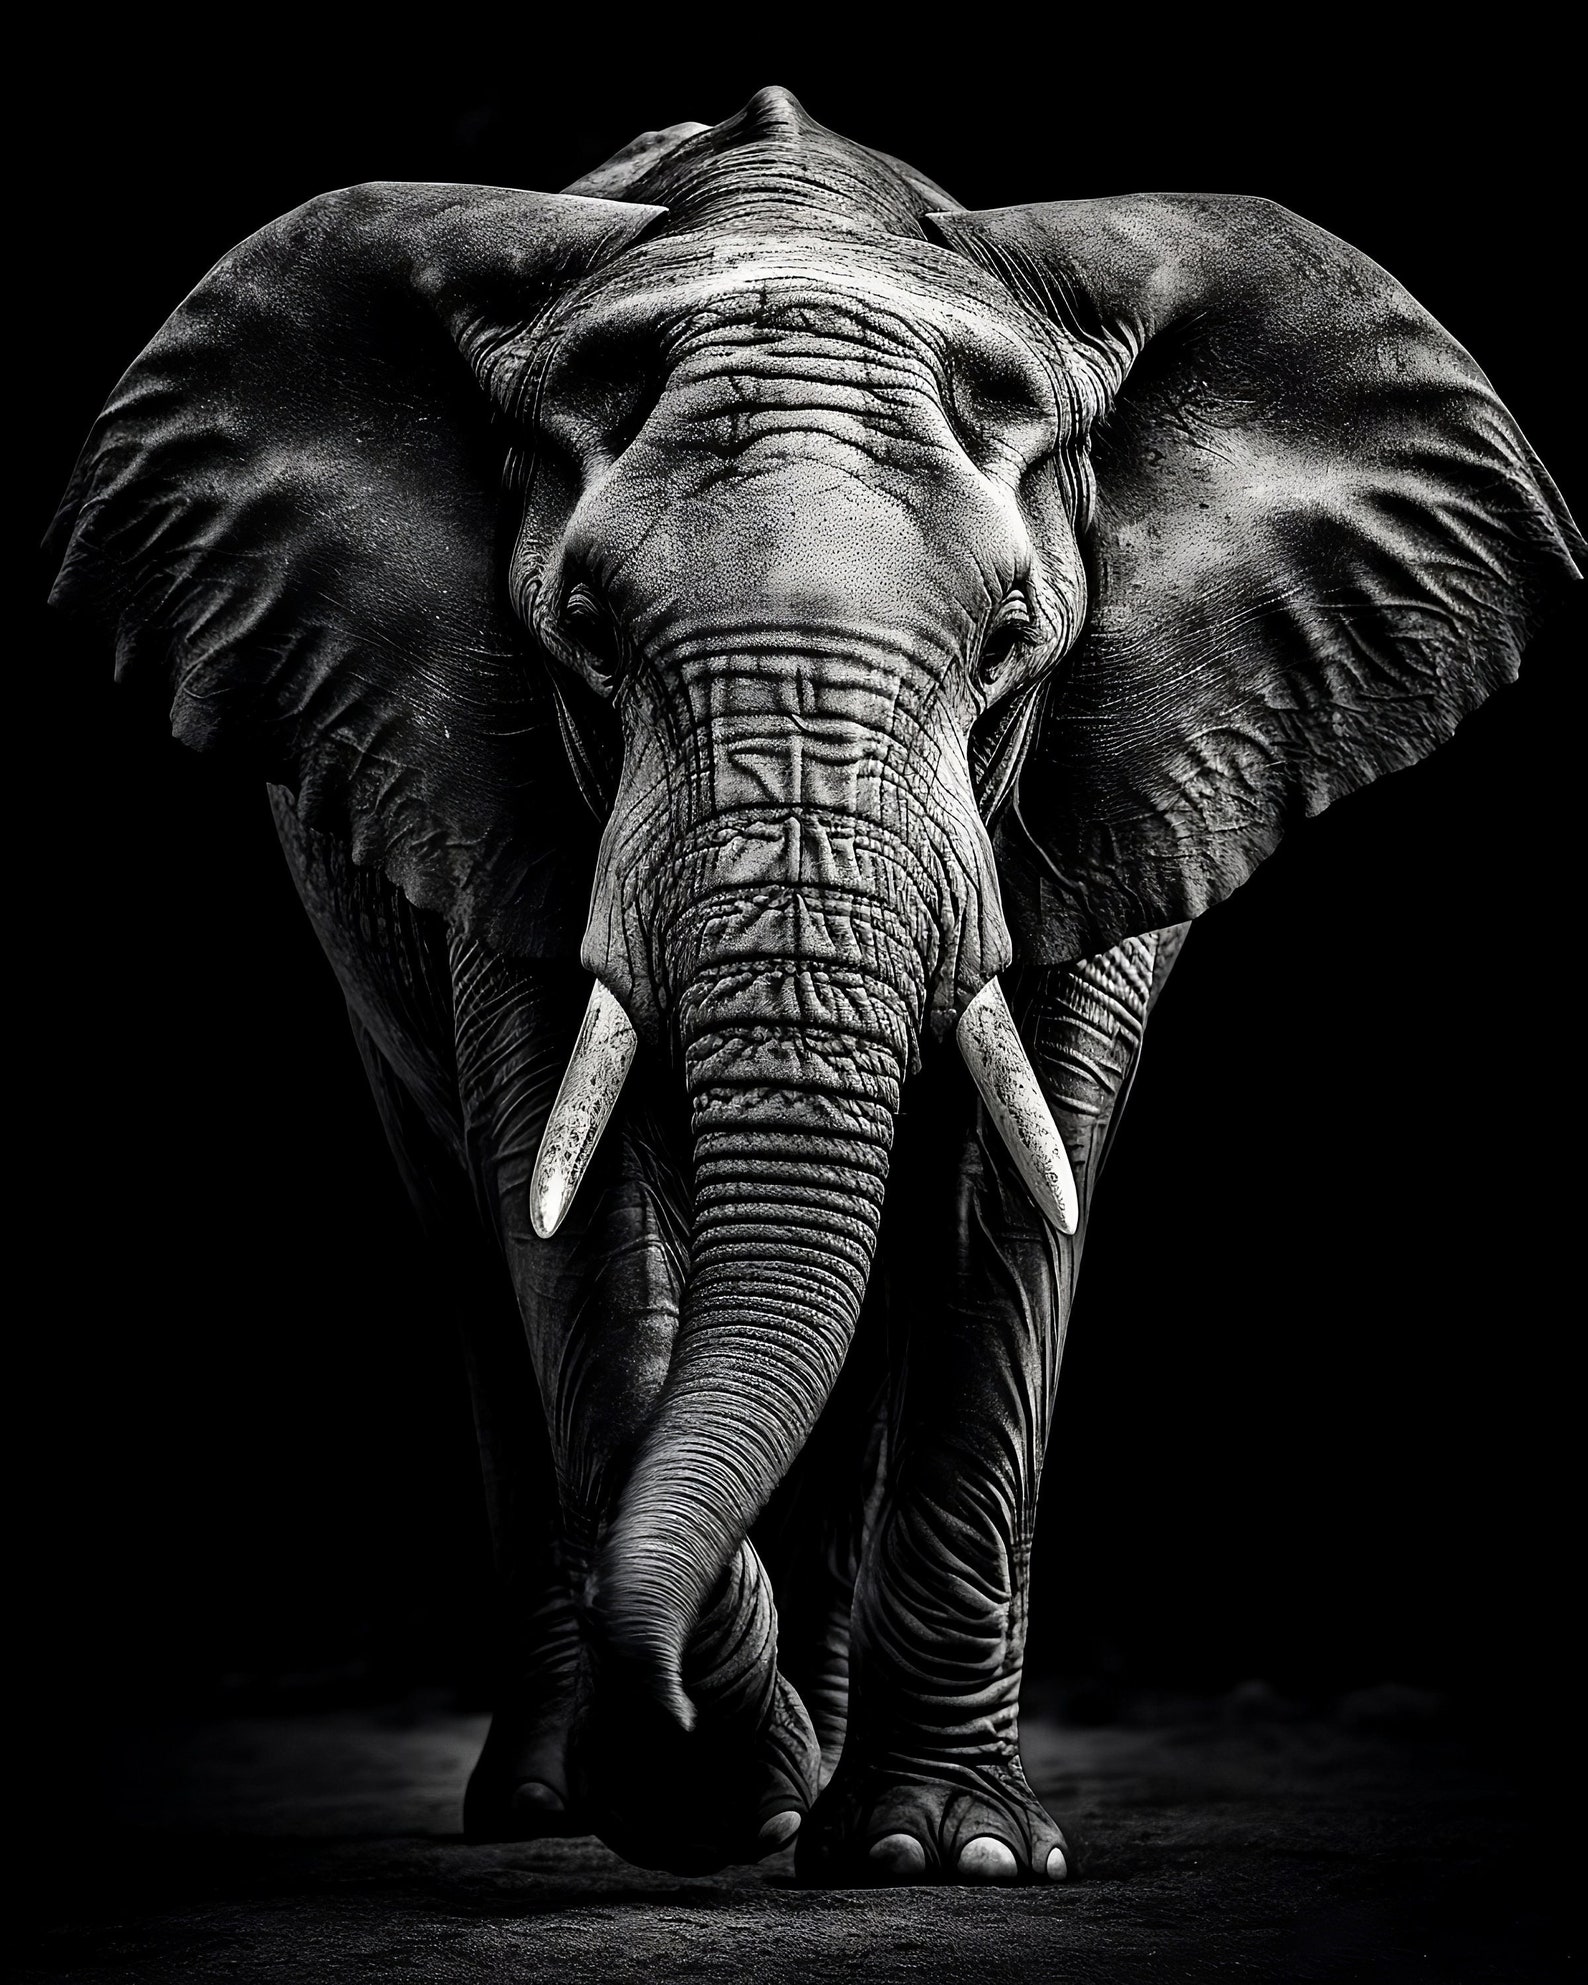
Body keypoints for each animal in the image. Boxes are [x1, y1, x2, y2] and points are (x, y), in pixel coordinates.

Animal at [51, 86, 1580, 1885]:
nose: (683, 1724)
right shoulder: (475, 772)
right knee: (476, 1252)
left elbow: (1009, 1198)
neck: (795, 226)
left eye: (1009, 639)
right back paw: (561, 1800)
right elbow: (573, 1211)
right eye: (583, 631)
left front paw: (944, 1853)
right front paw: (707, 1802)